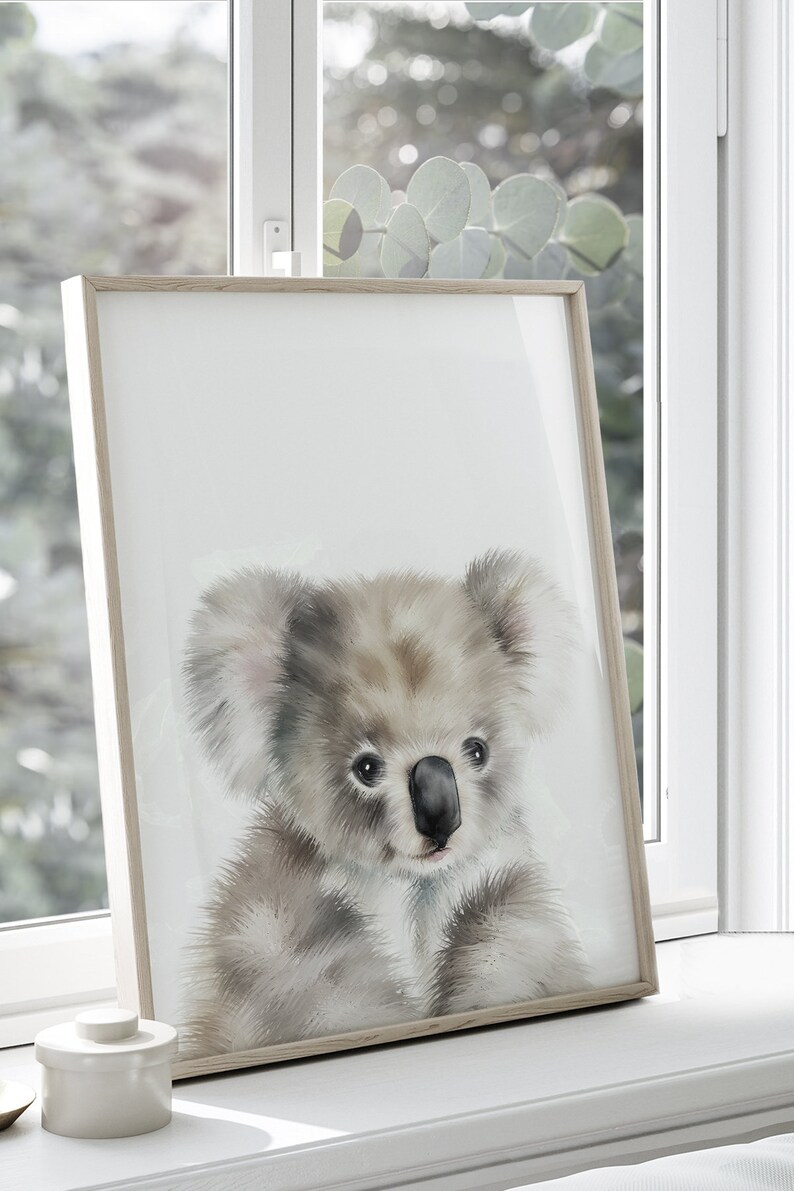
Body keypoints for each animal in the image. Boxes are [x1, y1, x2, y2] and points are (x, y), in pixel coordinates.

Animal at [180, 549, 588, 1057]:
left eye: (477, 751)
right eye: (367, 768)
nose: (440, 818)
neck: (410, 892)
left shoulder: (502, 898)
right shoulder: (276, 940)